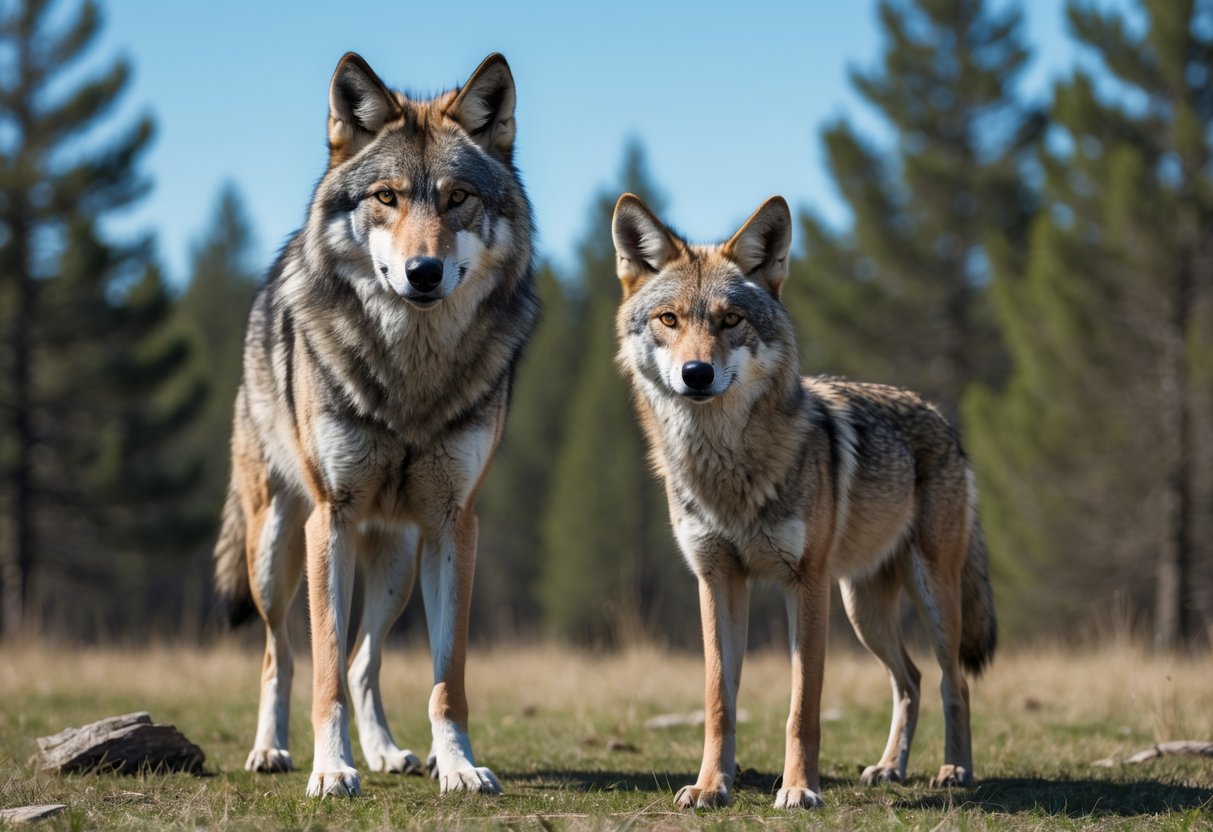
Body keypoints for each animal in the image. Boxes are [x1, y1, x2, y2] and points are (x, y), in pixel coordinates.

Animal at [211, 52, 538, 798]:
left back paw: (389, 752)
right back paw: (270, 750)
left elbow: (446, 679)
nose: (424, 271)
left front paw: (459, 765)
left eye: (457, 198)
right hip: (274, 550)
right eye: (386, 197)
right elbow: (324, 670)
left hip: (395, 560)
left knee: (366, 658)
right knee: (281, 655)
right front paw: (332, 769)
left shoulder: (454, 526)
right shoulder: (329, 520)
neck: (409, 376)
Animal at [611, 193, 996, 810]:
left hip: (930, 595)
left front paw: (799, 788)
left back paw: (954, 770)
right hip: (864, 611)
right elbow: (719, 702)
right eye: (669, 319)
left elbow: (802, 708)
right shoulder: (717, 580)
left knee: (951, 679)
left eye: (731, 320)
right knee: (909, 680)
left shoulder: (806, 584)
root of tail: (939, 415)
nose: (696, 374)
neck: (727, 471)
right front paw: (711, 785)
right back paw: (889, 768)